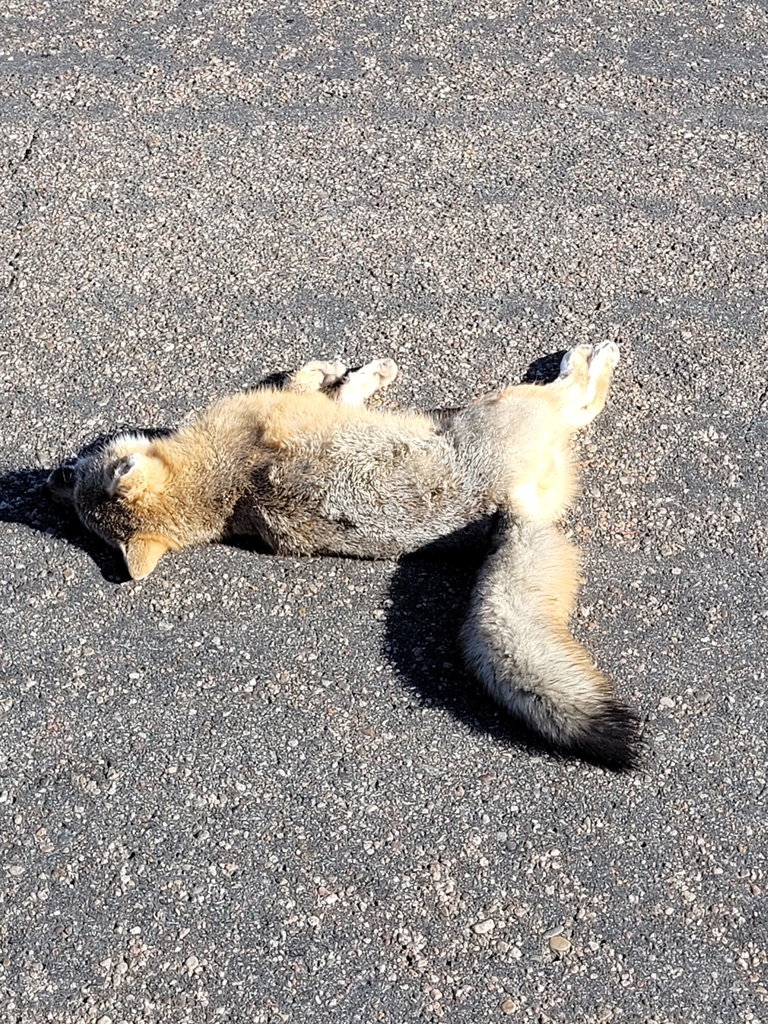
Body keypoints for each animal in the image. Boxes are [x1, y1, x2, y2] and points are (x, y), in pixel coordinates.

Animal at [47, 341, 642, 770]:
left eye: (80, 473)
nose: (53, 476)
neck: (221, 491)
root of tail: (503, 505)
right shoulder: (305, 404)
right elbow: (327, 383)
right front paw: (357, 370)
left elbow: (333, 386)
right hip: (513, 403)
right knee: (580, 400)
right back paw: (591, 355)